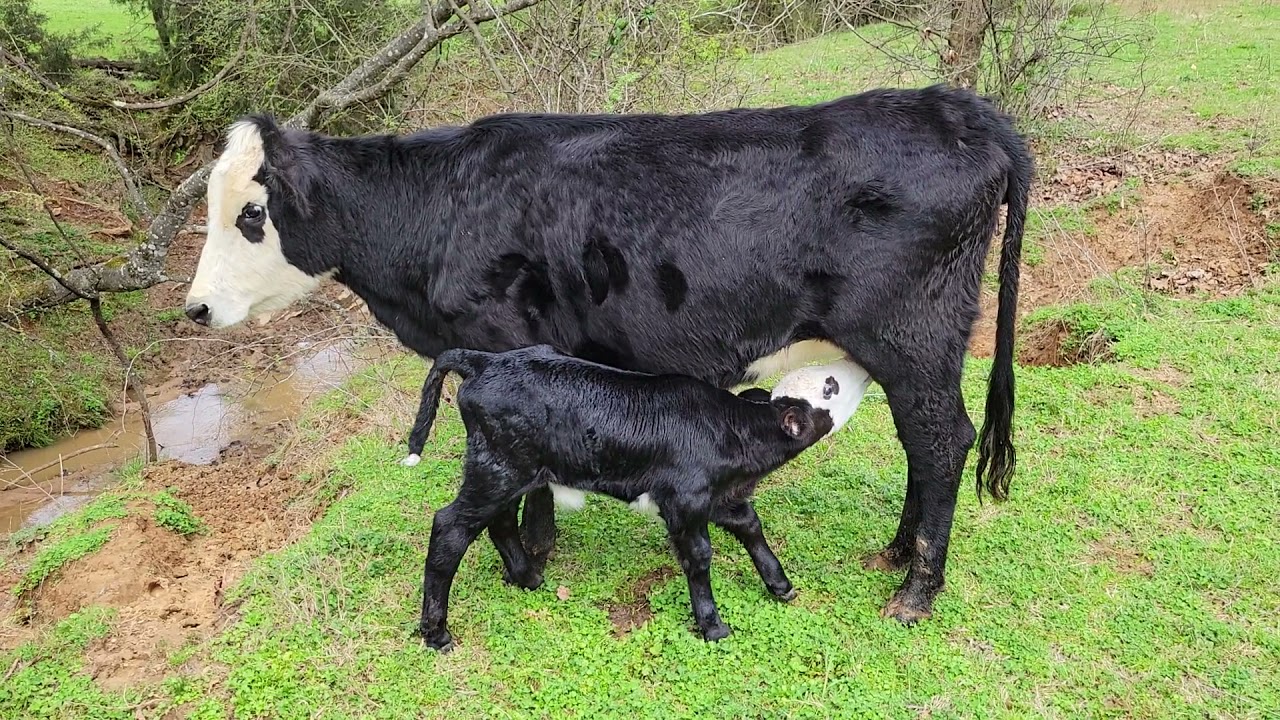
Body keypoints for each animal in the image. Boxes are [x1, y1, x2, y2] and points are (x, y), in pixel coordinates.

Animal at [183, 83, 1033, 624]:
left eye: (252, 214)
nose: (196, 308)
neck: (440, 208)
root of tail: (952, 105)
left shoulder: (507, 345)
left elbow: (521, 484)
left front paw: (532, 554)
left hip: (916, 337)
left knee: (941, 441)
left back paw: (915, 593)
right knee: (924, 446)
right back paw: (894, 554)